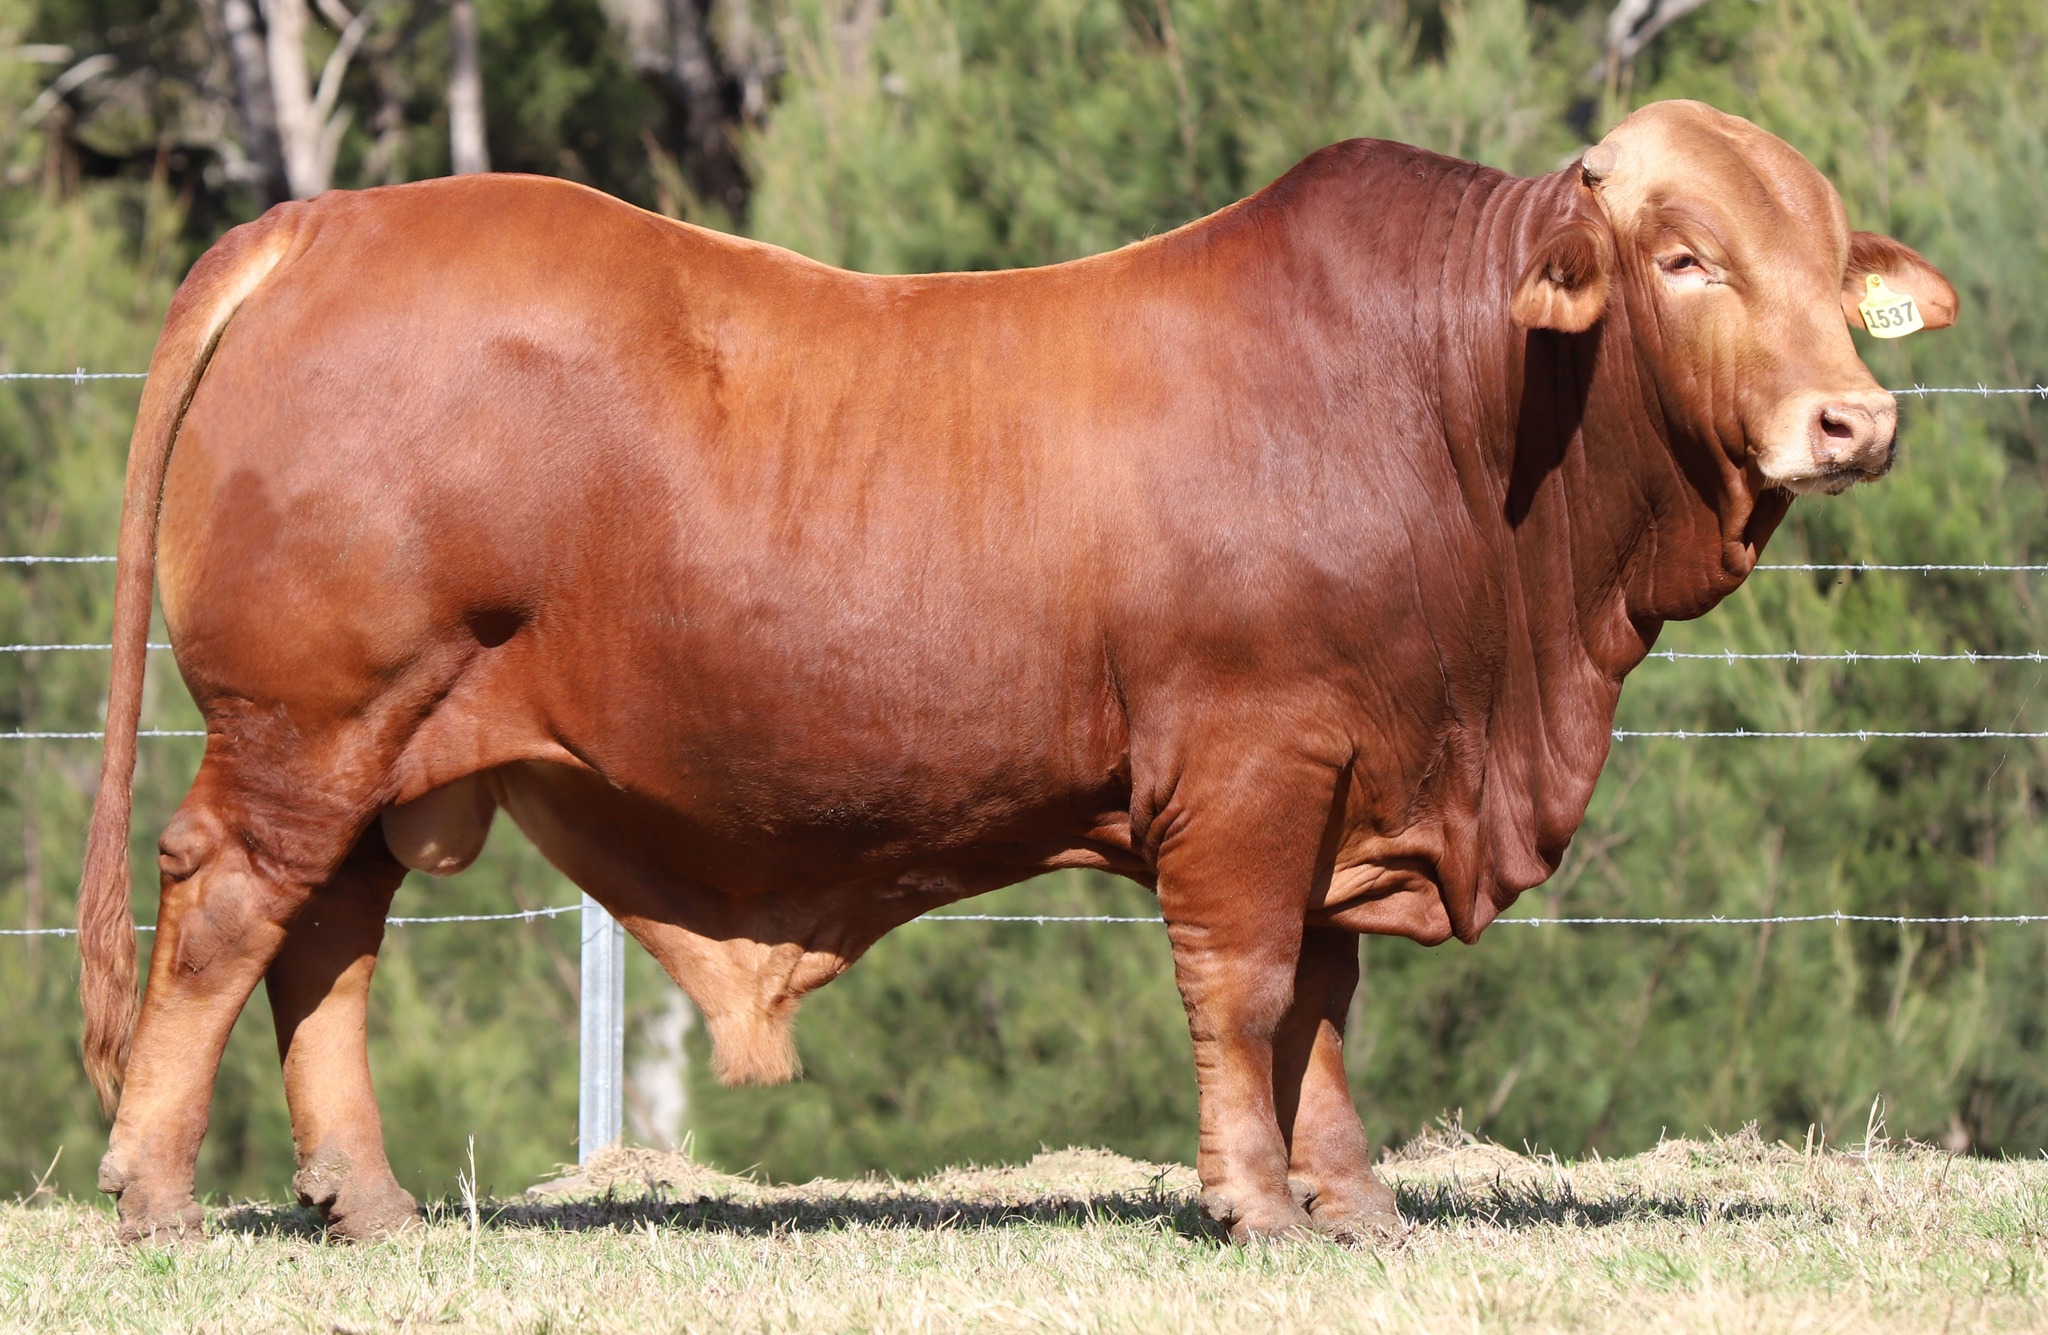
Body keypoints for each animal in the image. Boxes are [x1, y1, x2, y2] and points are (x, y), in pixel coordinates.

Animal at [78, 98, 1956, 1245]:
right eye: (1684, 257)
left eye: (1829, 259)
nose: (1852, 420)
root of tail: (332, 225)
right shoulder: (1253, 769)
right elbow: (1247, 990)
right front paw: (1254, 1205)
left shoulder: (1357, 776)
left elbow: (1327, 1004)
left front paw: (1353, 1205)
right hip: (309, 720)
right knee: (227, 910)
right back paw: (155, 1193)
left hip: (381, 747)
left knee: (328, 937)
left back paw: (366, 1202)